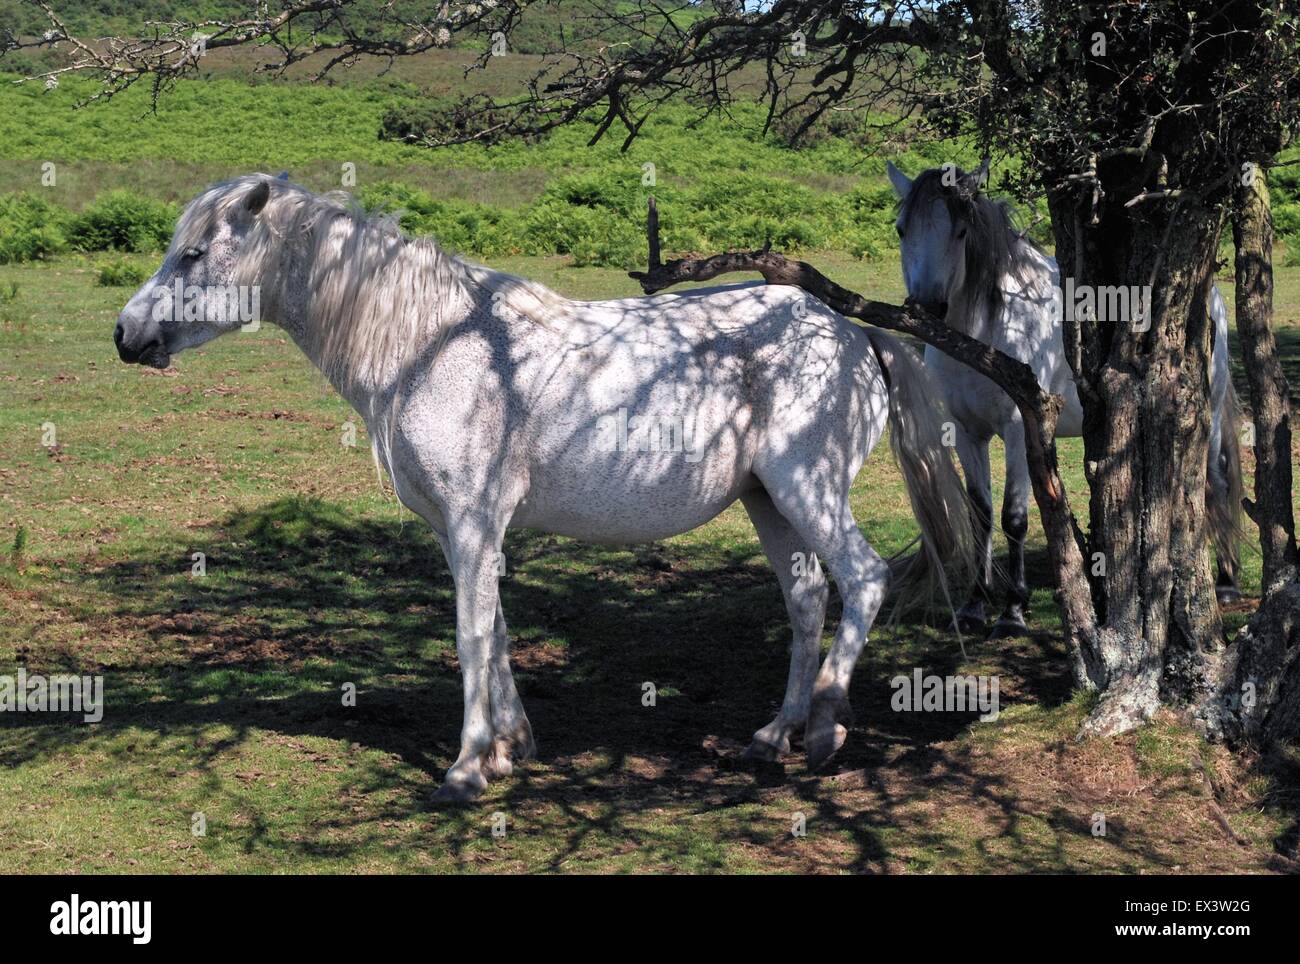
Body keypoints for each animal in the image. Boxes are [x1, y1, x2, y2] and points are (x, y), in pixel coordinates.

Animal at [113, 174, 975, 802]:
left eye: (194, 254)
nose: (125, 334)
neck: (433, 346)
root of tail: (851, 332)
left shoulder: (471, 523)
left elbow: (469, 635)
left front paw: (466, 768)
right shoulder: (464, 530)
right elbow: (495, 629)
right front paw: (510, 748)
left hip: (808, 489)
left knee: (862, 579)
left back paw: (825, 728)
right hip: (770, 502)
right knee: (805, 601)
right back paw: (772, 736)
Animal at [886, 161, 1243, 640]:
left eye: (961, 232)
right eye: (903, 229)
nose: (926, 307)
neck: (983, 333)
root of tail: (1207, 291)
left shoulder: (1019, 430)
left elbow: (1014, 518)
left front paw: (1012, 612)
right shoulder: (966, 433)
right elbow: (981, 515)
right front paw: (975, 605)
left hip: (1208, 412)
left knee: (1215, 484)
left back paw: (1225, 582)